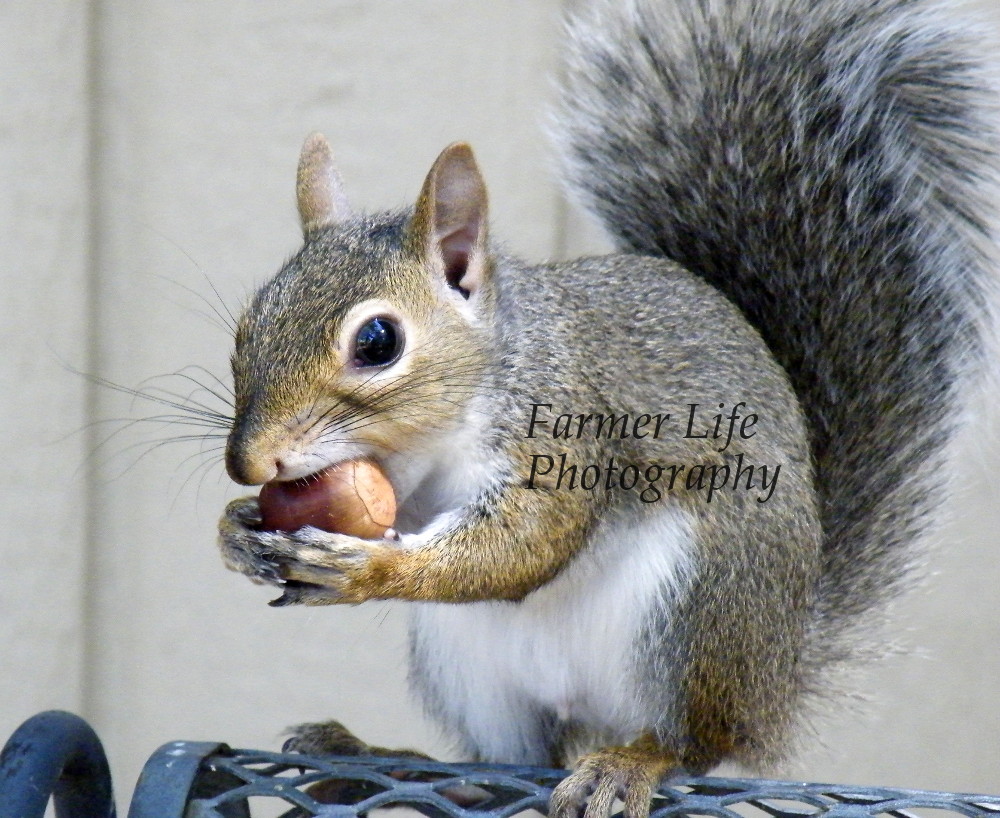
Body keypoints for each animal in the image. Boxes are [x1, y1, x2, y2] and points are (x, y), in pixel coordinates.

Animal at [216, 0, 1000, 816]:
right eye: (247, 326)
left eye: (377, 341)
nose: (249, 462)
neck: (438, 428)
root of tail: (777, 679)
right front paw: (236, 532)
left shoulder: (566, 428)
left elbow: (526, 544)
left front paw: (368, 570)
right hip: (468, 665)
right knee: (500, 766)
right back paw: (378, 758)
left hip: (699, 607)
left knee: (692, 745)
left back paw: (628, 765)